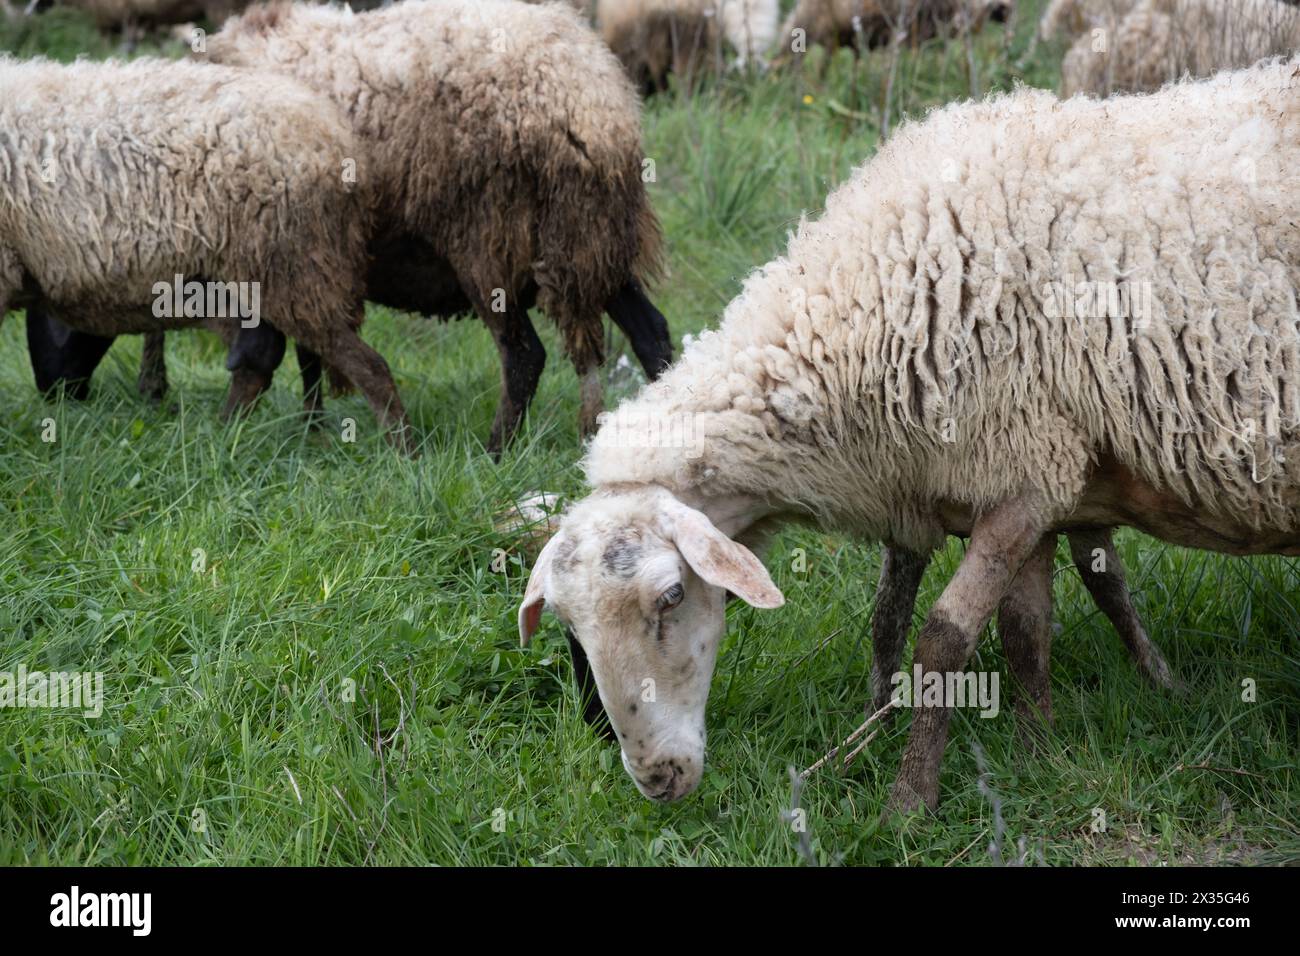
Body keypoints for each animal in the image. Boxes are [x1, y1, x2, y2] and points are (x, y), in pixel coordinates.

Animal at [0, 56, 409, 440]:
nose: (52, 391)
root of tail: (337, 134)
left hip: (290, 268)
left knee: (368, 365)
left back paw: (402, 450)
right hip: (234, 280)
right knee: (259, 355)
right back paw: (227, 437)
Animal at [516, 58, 1300, 810]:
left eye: (672, 596)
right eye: (568, 627)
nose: (657, 780)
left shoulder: (1023, 480)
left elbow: (943, 637)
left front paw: (909, 799)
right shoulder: (1014, 476)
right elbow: (986, 629)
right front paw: (1032, 752)